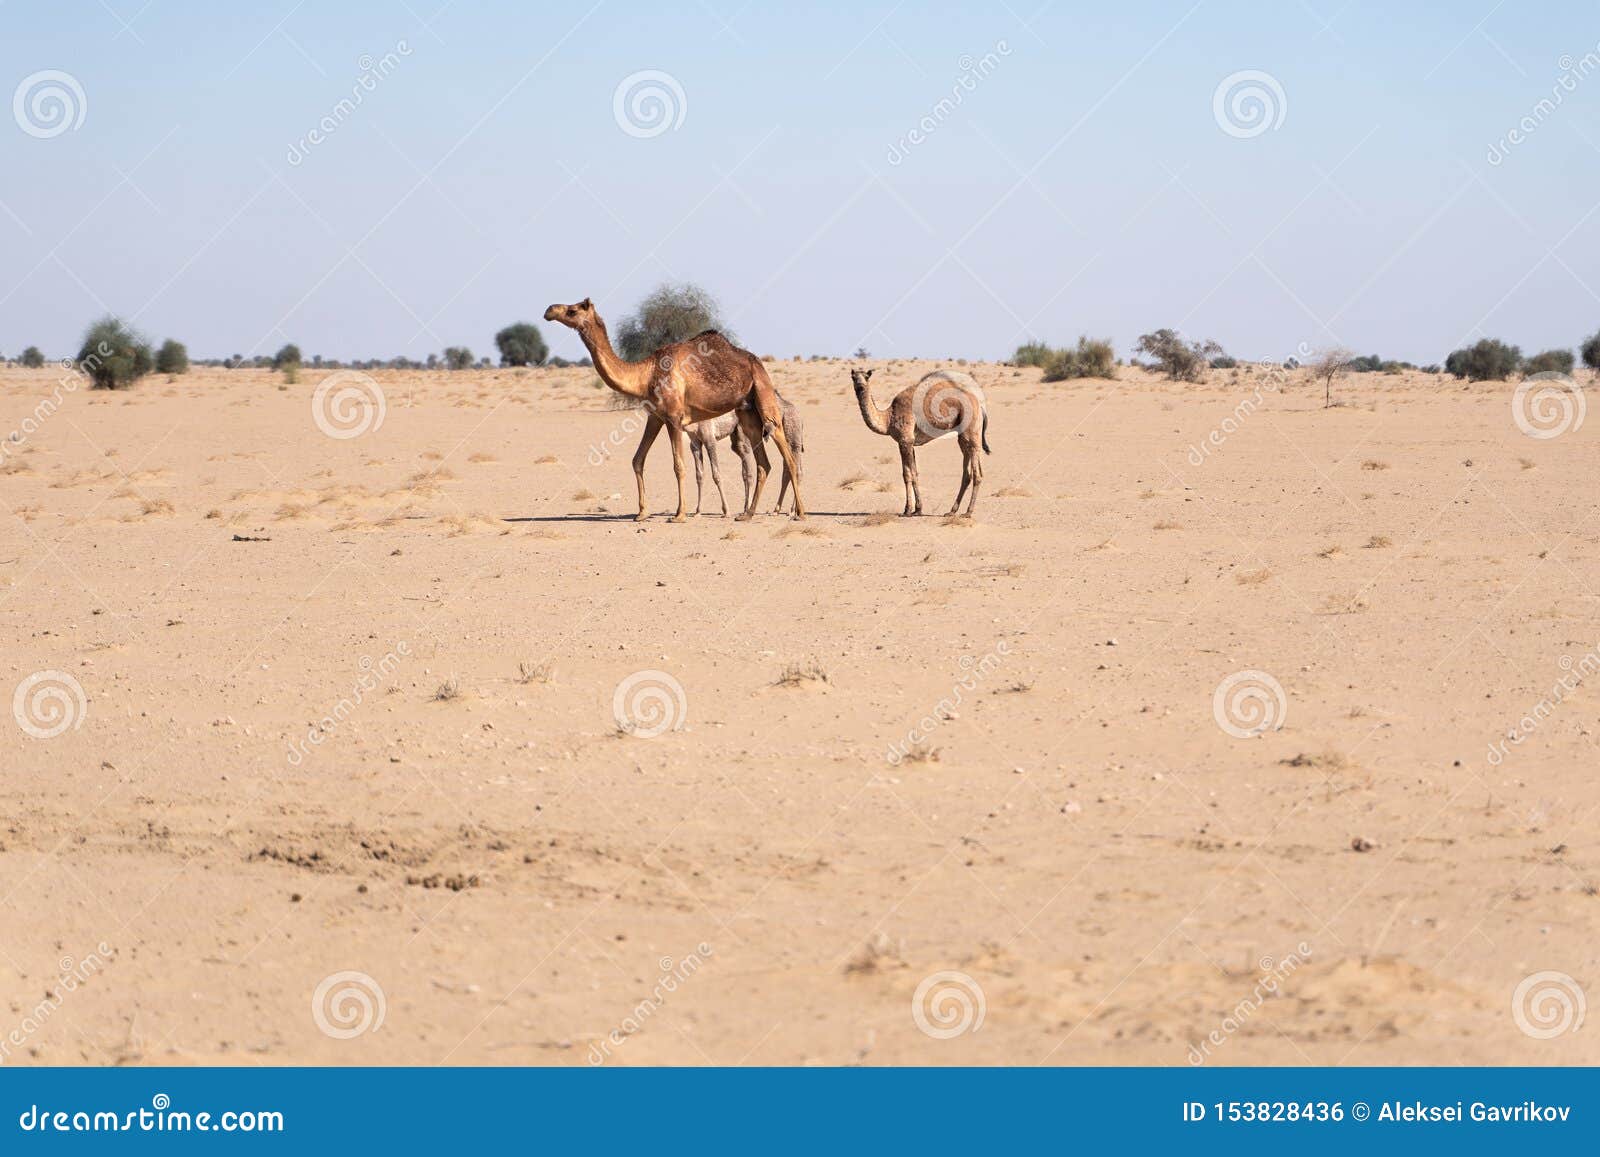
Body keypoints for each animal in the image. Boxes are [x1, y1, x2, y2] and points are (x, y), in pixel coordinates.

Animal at [542, 298, 805, 521]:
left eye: (572, 310)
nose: (549, 310)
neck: (646, 374)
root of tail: (758, 363)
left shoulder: (675, 418)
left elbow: (679, 466)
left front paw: (679, 514)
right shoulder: (655, 416)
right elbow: (638, 459)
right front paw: (642, 513)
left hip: (765, 398)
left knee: (789, 457)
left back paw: (799, 513)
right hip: (747, 413)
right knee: (764, 464)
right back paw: (747, 514)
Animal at [849, 367, 990, 517]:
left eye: (867, 376)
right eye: (853, 377)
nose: (860, 385)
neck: (888, 418)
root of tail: (980, 407)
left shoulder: (905, 440)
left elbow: (909, 475)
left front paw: (910, 510)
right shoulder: (907, 443)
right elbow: (912, 473)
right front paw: (914, 509)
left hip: (971, 430)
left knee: (977, 474)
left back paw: (968, 512)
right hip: (964, 437)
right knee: (968, 472)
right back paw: (952, 511)